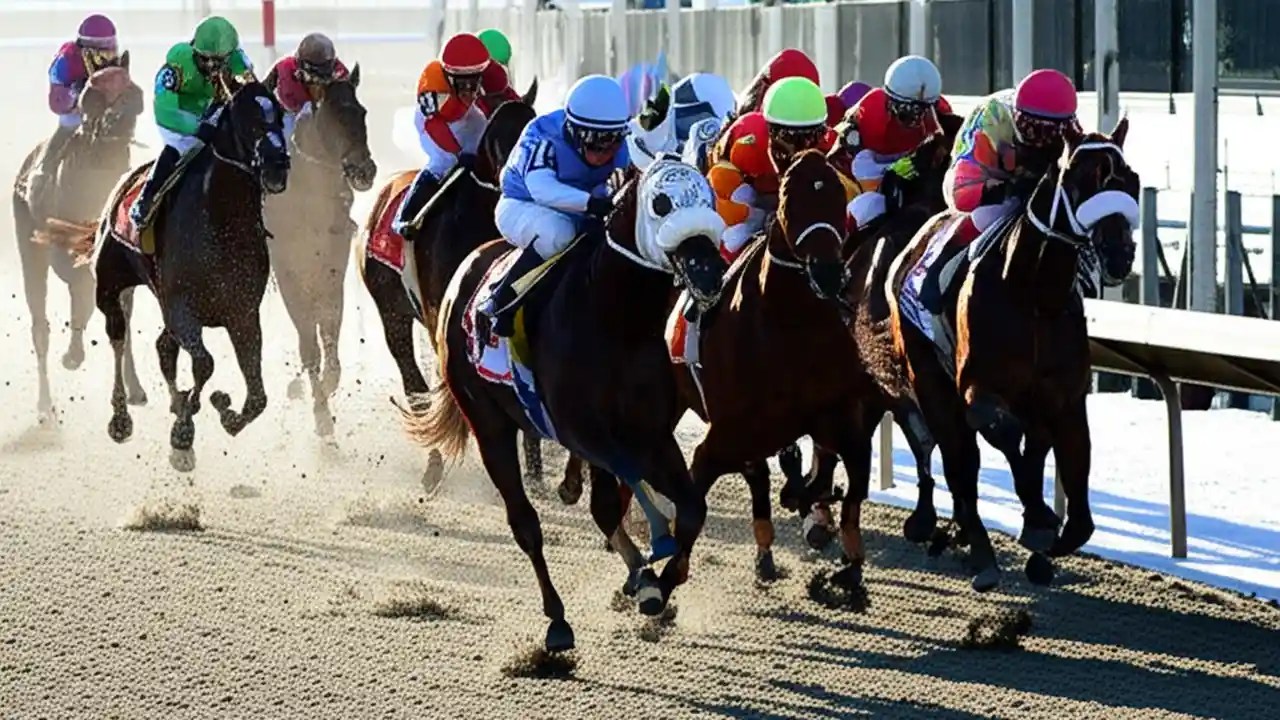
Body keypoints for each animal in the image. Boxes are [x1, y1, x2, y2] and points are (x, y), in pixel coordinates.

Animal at [12, 59, 145, 423]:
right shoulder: (64, 251)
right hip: (30, 249)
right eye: (93, 90)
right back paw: (45, 405)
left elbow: (122, 313)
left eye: (133, 91)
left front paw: (134, 389)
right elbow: (82, 294)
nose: (117, 119)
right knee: (40, 325)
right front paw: (72, 355)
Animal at [90, 77, 290, 472]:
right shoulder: (184, 311)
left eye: (280, 113)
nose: (278, 165)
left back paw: (178, 403)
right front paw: (184, 432)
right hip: (110, 285)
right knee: (118, 336)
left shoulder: (243, 314)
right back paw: (121, 418)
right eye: (246, 117)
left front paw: (221, 413)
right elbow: (204, 363)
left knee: (163, 347)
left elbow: (257, 396)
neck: (220, 219)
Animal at [262, 65, 376, 437]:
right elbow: (307, 340)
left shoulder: (332, 266)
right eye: (333, 117)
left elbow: (329, 326)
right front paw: (322, 413)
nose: (364, 170)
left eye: (362, 112)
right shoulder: (286, 269)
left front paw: (328, 382)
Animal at [404, 155, 728, 651]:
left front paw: (661, 582)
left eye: (709, 196)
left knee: (599, 508)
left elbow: (690, 508)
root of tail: (464, 272)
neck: (616, 318)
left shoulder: (651, 432)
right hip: (489, 424)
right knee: (525, 523)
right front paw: (655, 551)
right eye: (660, 203)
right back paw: (557, 619)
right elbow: (622, 489)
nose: (710, 273)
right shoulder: (582, 429)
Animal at [884, 118, 1139, 588]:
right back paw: (981, 554)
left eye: (1130, 179)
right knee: (960, 464)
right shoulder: (977, 389)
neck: (1032, 294)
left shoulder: (1066, 398)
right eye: (1078, 180)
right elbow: (1003, 437)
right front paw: (1037, 519)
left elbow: (1076, 491)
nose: (1118, 254)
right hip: (928, 380)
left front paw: (1048, 538)